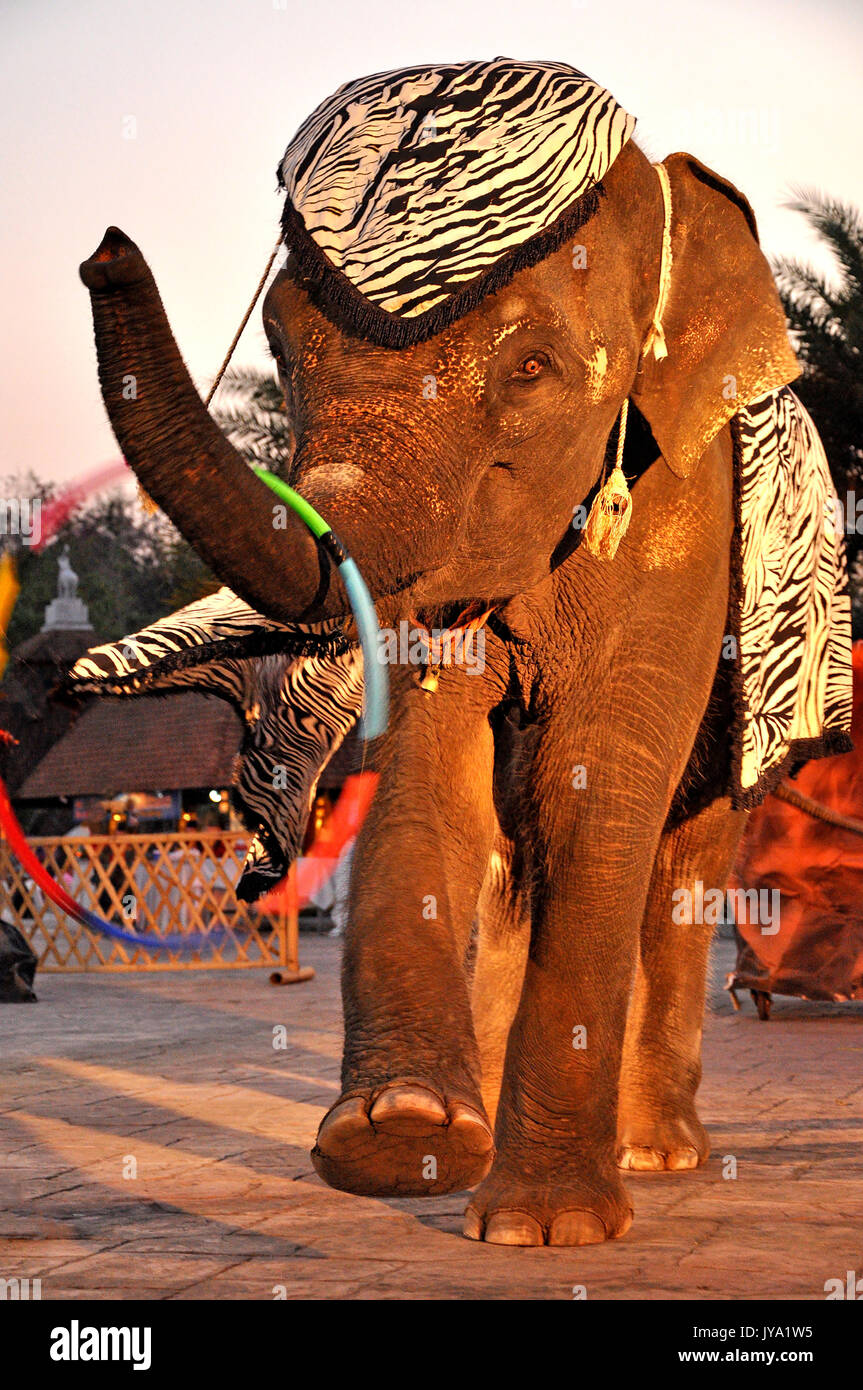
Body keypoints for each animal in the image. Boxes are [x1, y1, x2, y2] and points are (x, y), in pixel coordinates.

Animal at [76, 58, 851, 1246]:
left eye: (530, 367)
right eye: (281, 349)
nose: (105, 249)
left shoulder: (686, 525)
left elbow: (594, 781)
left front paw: (546, 1229)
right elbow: (428, 769)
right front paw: (400, 1140)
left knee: (683, 866)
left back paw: (656, 1151)